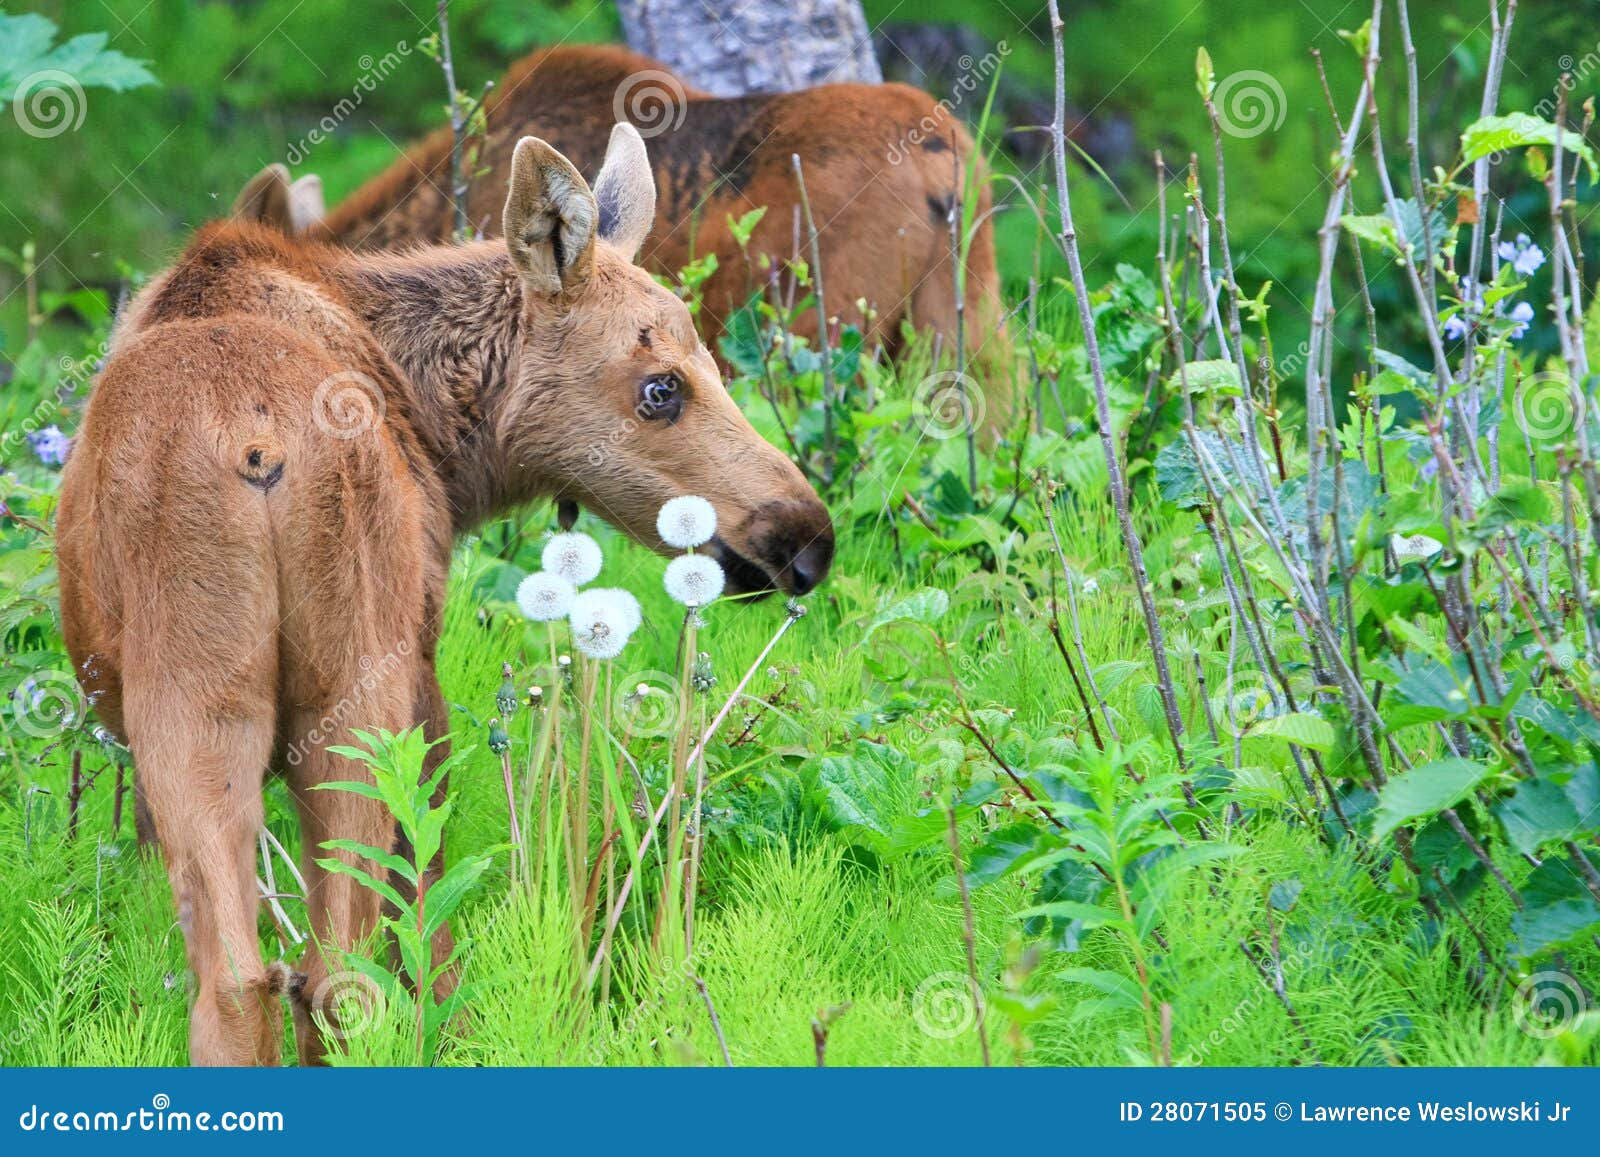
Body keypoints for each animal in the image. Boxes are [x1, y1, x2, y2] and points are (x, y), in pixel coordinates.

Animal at [55, 123, 833, 1066]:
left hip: (227, 689)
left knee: (263, 974)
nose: (807, 536)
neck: (451, 443)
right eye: (662, 387)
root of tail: (255, 442)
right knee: (329, 966)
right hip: (331, 678)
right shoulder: (419, 654)